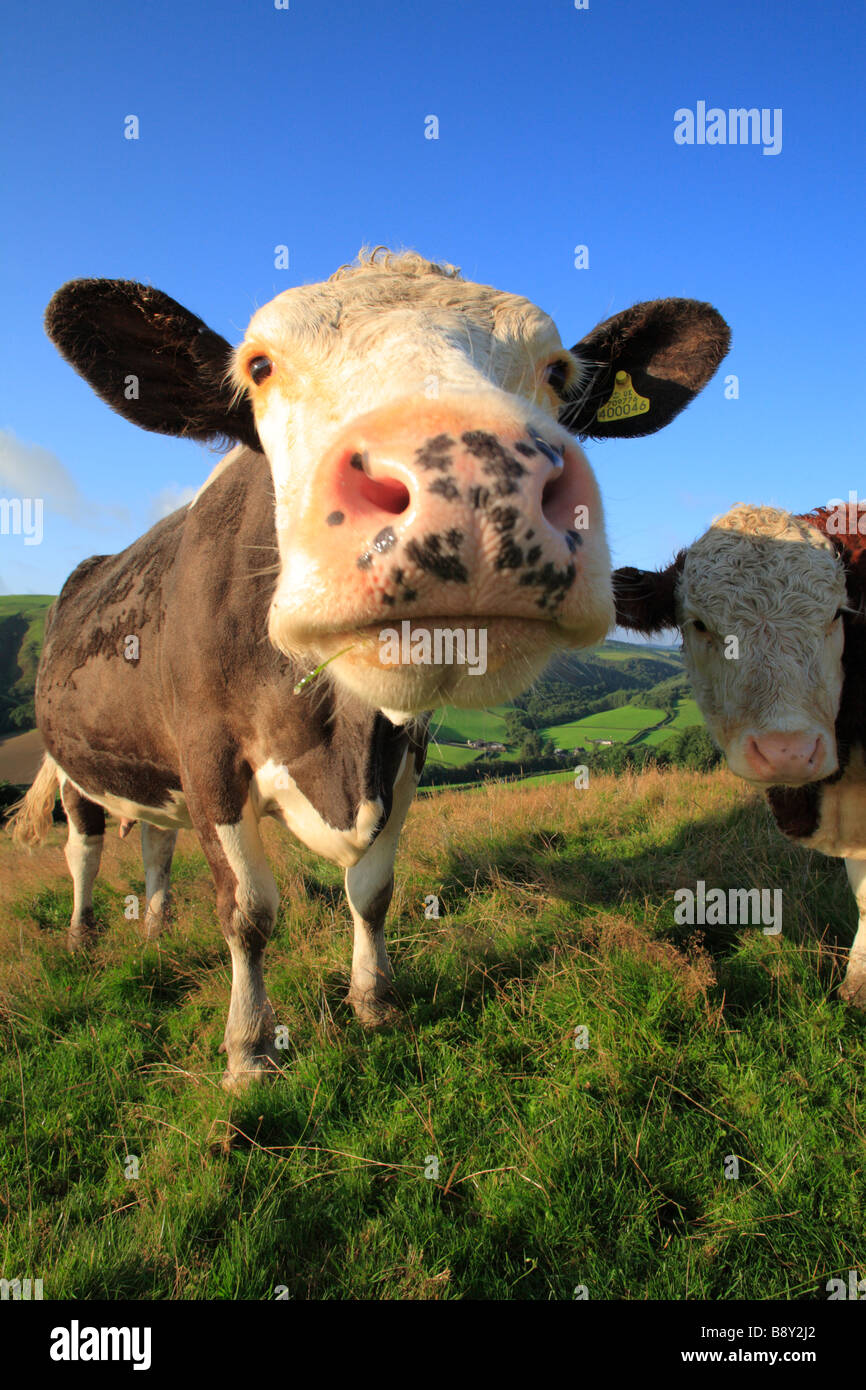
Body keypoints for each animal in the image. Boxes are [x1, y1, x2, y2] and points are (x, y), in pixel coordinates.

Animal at [10, 248, 729, 1086]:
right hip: (75, 765)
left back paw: (153, 929)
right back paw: (83, 935)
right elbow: (248, 912)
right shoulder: (208, 754)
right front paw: (248, 1050)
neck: (339, 744)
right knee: (84, 849)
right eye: (259, 366)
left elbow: (373, 891)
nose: (469, 483)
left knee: (155, 837)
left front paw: (375, 1000)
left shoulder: (403, 755)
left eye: (557, 371)